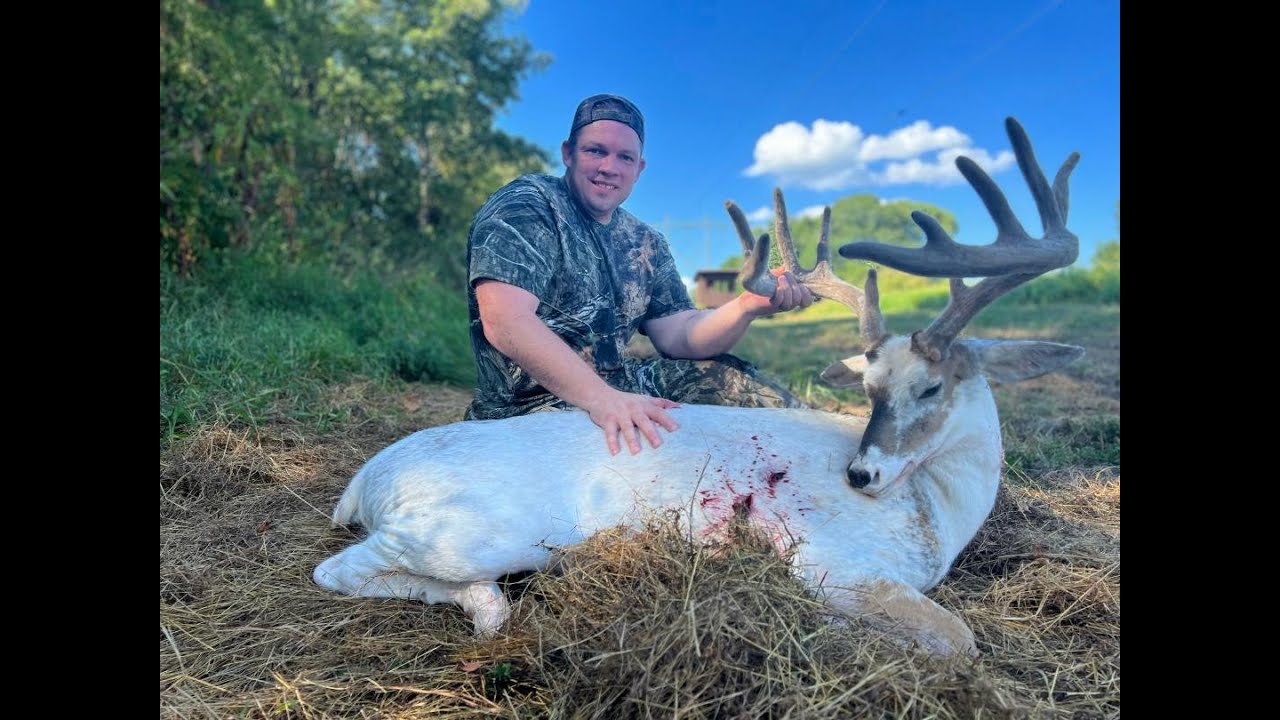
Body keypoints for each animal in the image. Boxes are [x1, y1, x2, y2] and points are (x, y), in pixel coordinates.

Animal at [313, 118, 1084, 657]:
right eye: (871, 386)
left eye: (930, 389)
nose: (861, 475)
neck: (936, 513)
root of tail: (366, 480)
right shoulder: (833, 559)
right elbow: (959, 640)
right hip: (467, 531)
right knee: (340, 569)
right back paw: (486, 607)